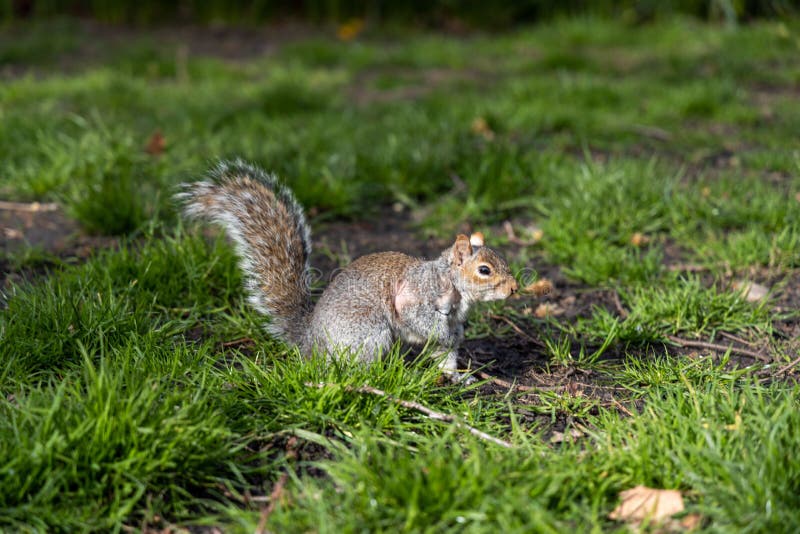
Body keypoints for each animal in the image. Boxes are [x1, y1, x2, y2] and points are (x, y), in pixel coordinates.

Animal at [177, 160, 518, 382]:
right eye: (485, 270)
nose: (514, 288)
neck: (454, 286)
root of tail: (310, 341)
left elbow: (446, 352)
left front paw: (458, 376)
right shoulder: (416, 295)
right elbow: (419, 318)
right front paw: (442, 335)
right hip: (368, 332)